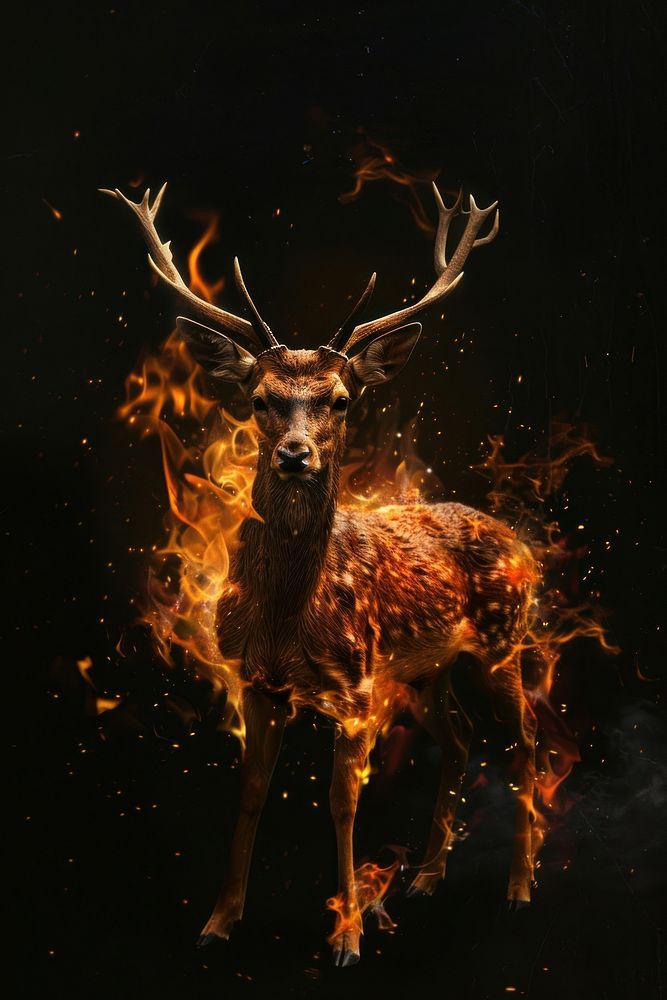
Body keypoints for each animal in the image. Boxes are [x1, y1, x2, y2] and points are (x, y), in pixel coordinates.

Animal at [103, 180, 540, 967]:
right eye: (259, 399)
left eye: (340, 399)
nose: (295, 455)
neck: (286, 618)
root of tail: (518, 541)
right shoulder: (256, 680)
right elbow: (251, 792)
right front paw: (219, 920)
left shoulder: (356, 685)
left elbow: (341, 802)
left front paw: (347, 936)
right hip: (429, 667)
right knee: (461, 738)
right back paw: (426, 877)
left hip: (501, 641)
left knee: (523, 741)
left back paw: (519, 887)